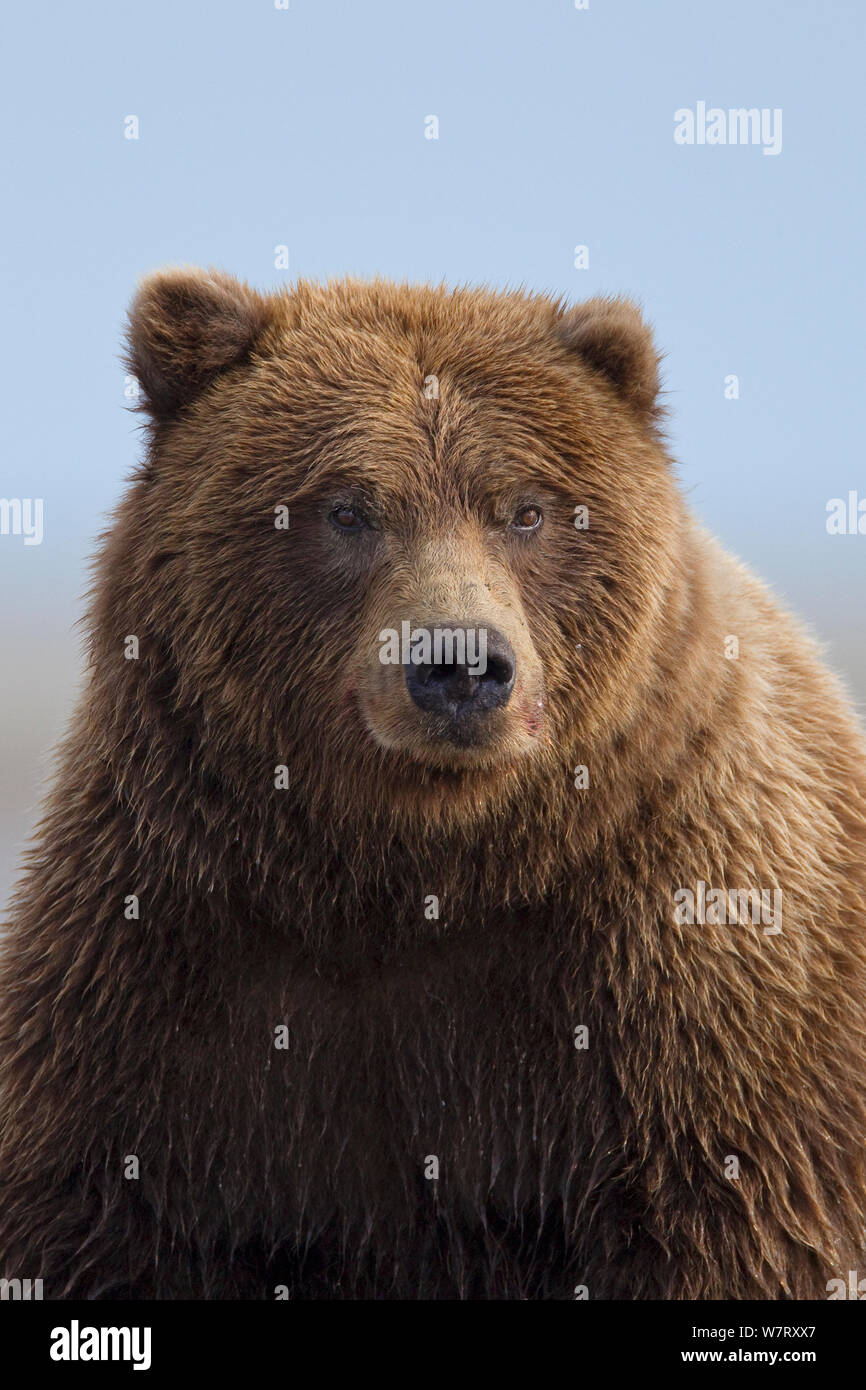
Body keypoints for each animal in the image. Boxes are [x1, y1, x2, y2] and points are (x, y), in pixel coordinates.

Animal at [1, 267, 865, 1300]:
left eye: (527, 509)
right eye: (346, 509)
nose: (458, 665)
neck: (420, 868)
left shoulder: (693, 1008)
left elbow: (741, 1226)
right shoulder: (156, 980)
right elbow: (96, 1221)